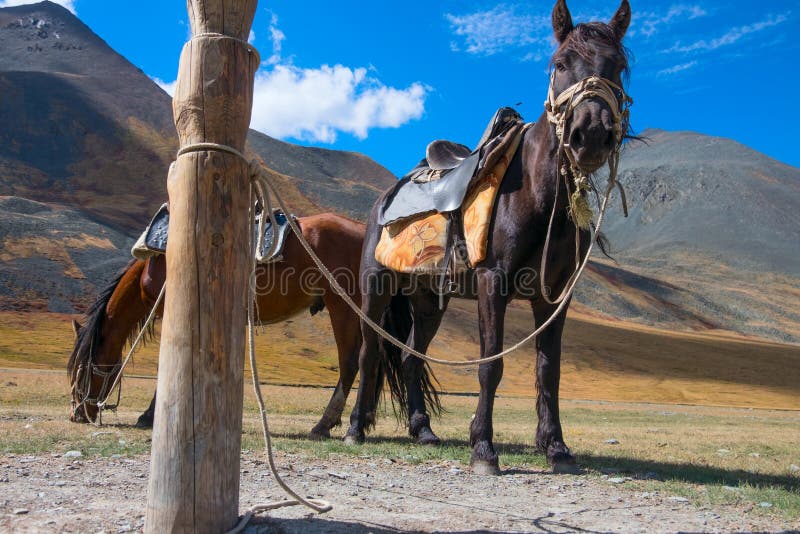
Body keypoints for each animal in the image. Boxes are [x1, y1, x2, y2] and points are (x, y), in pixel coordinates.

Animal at [67, 212, 438, 440]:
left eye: (82, 369)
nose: (77, 412)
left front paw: (149, 415)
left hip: (343, 306)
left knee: (352, 361)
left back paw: (325, 424)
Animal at [343, 0, 633, 474]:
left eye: (619, 67)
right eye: (560, 63)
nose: (590, 135)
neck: (536, 192)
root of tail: (385, 197)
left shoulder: (554, 295)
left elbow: (548, 370)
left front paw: (556, 447)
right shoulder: (492, 282)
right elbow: (490, 366)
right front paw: (483, 447)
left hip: (428, 302)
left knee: (409, 356)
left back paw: (424, 430)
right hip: (377, 287)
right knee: (370, 352)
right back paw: (354, 428)